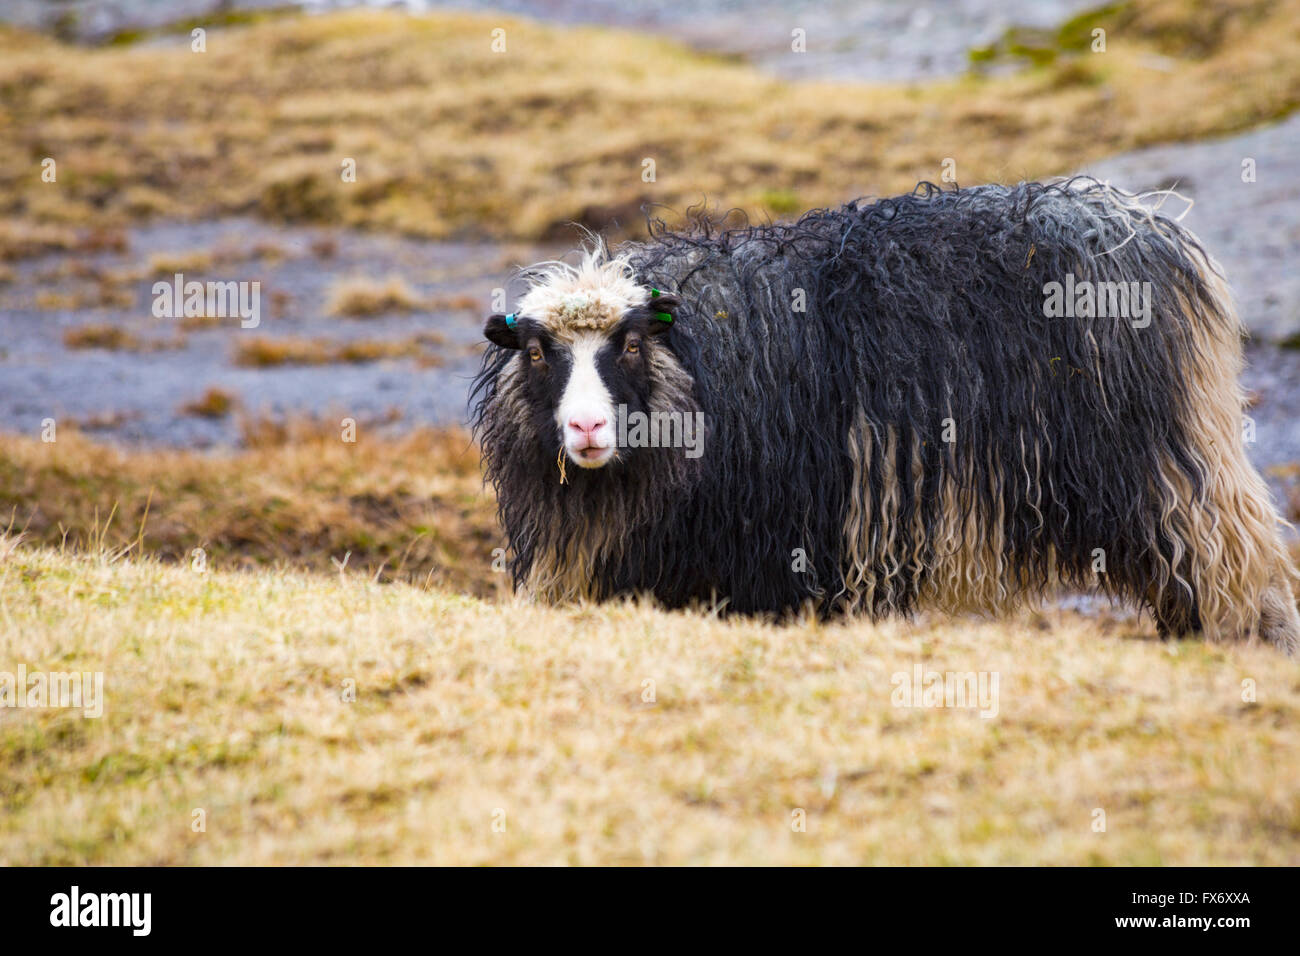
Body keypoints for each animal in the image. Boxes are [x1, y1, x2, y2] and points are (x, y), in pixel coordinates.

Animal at [470, 179, 1300, 652]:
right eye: (539, 352)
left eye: (633, 345)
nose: (587, 430)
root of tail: (1146, 226)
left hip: (1162, 462)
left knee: (1227, 558)